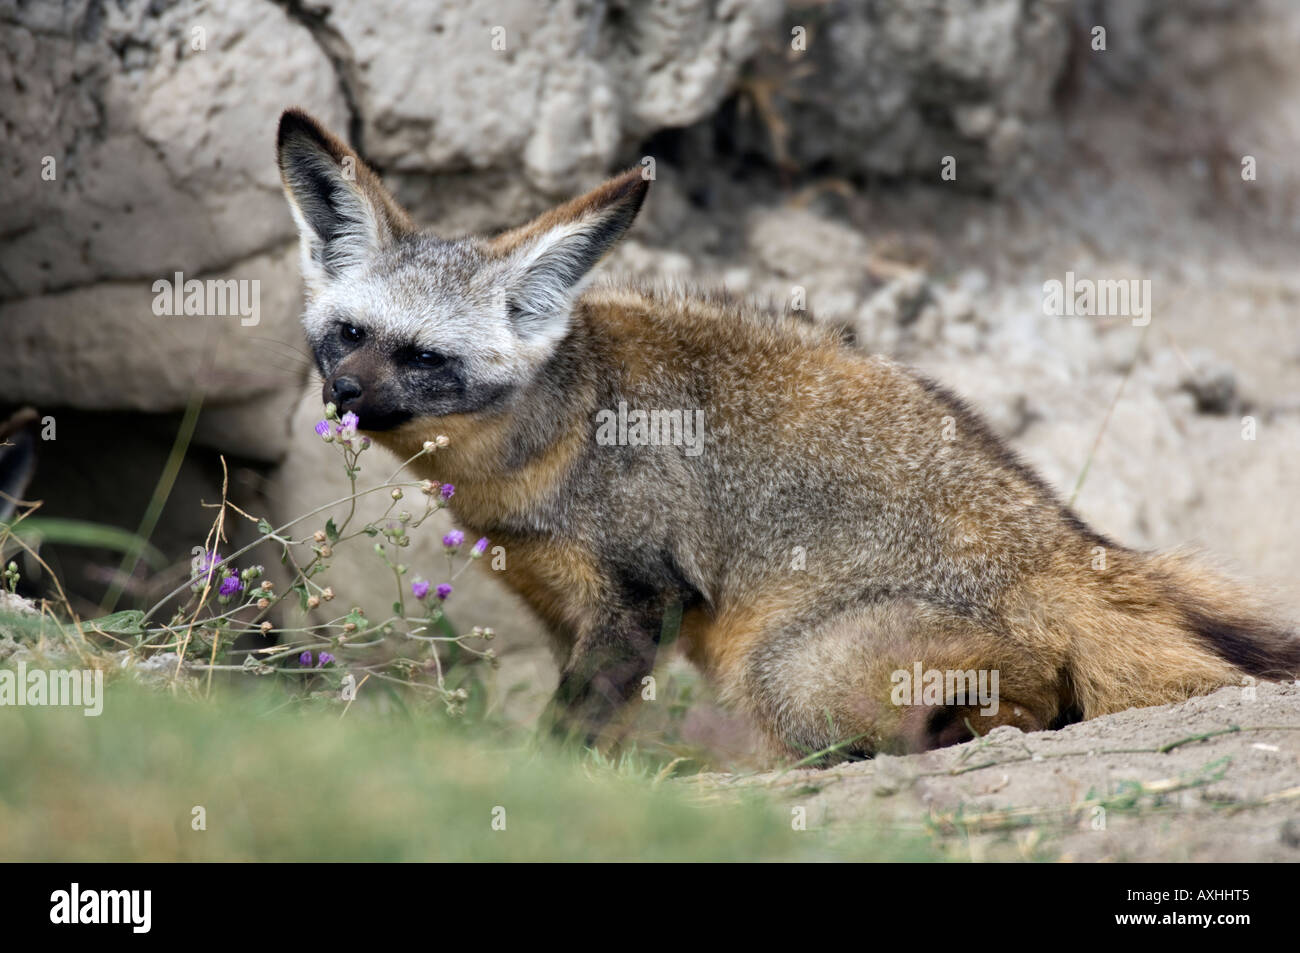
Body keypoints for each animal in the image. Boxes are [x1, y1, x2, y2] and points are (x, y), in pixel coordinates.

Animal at [276, 108, 1299, 760]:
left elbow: (574, 727)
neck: (558, 430)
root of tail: (1065, 548)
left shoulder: (642, 597)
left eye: (425, 357)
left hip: (788, 671)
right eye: (350, 334)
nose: (344, 395)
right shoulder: (564, 602)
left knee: (1008, 712)